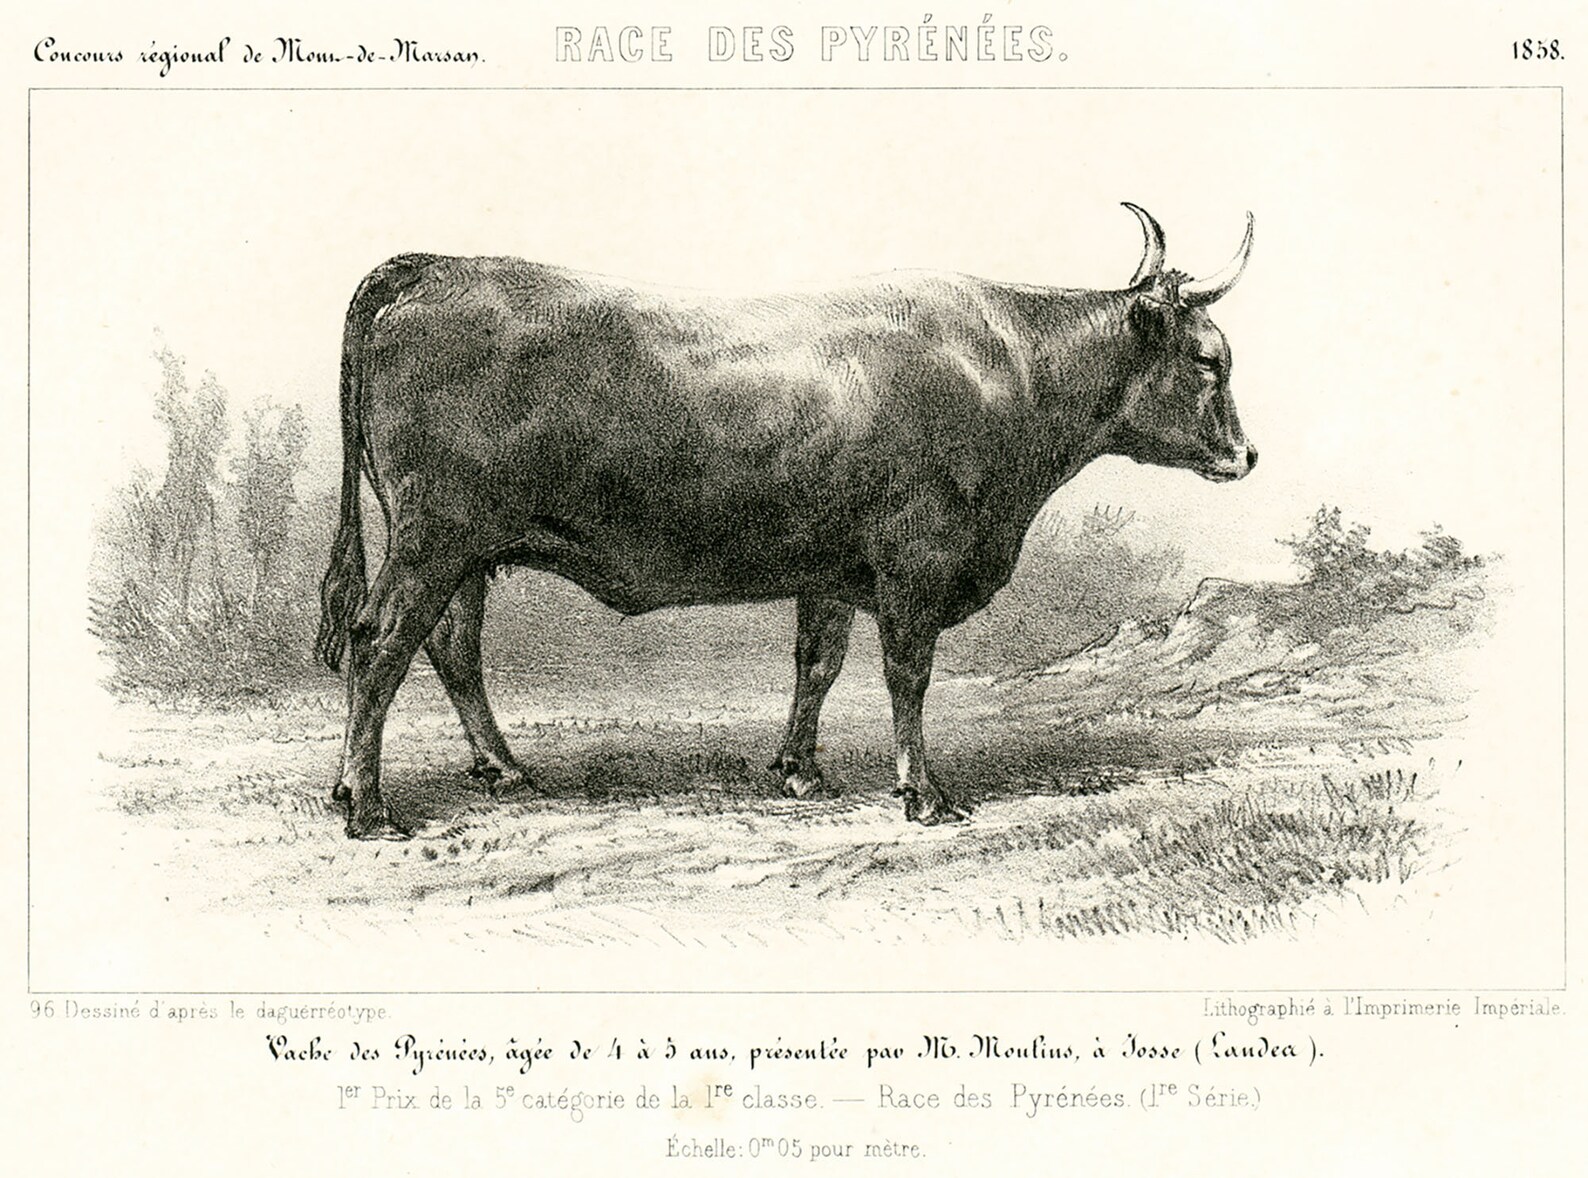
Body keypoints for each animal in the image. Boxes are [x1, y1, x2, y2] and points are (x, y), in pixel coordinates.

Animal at [316, 204, 1256, 840]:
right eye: (1209, 359)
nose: (1248, 457)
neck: (1004, 369)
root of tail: (431, 266)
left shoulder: (834, 569)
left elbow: (818, 664)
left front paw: (800, 772)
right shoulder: (914, 563)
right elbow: (907, 675)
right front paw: (924, 794)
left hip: (471, 550)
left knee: (452, 648)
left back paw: (504, 771)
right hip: (434, 537)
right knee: (382, 641)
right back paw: (367, 805)